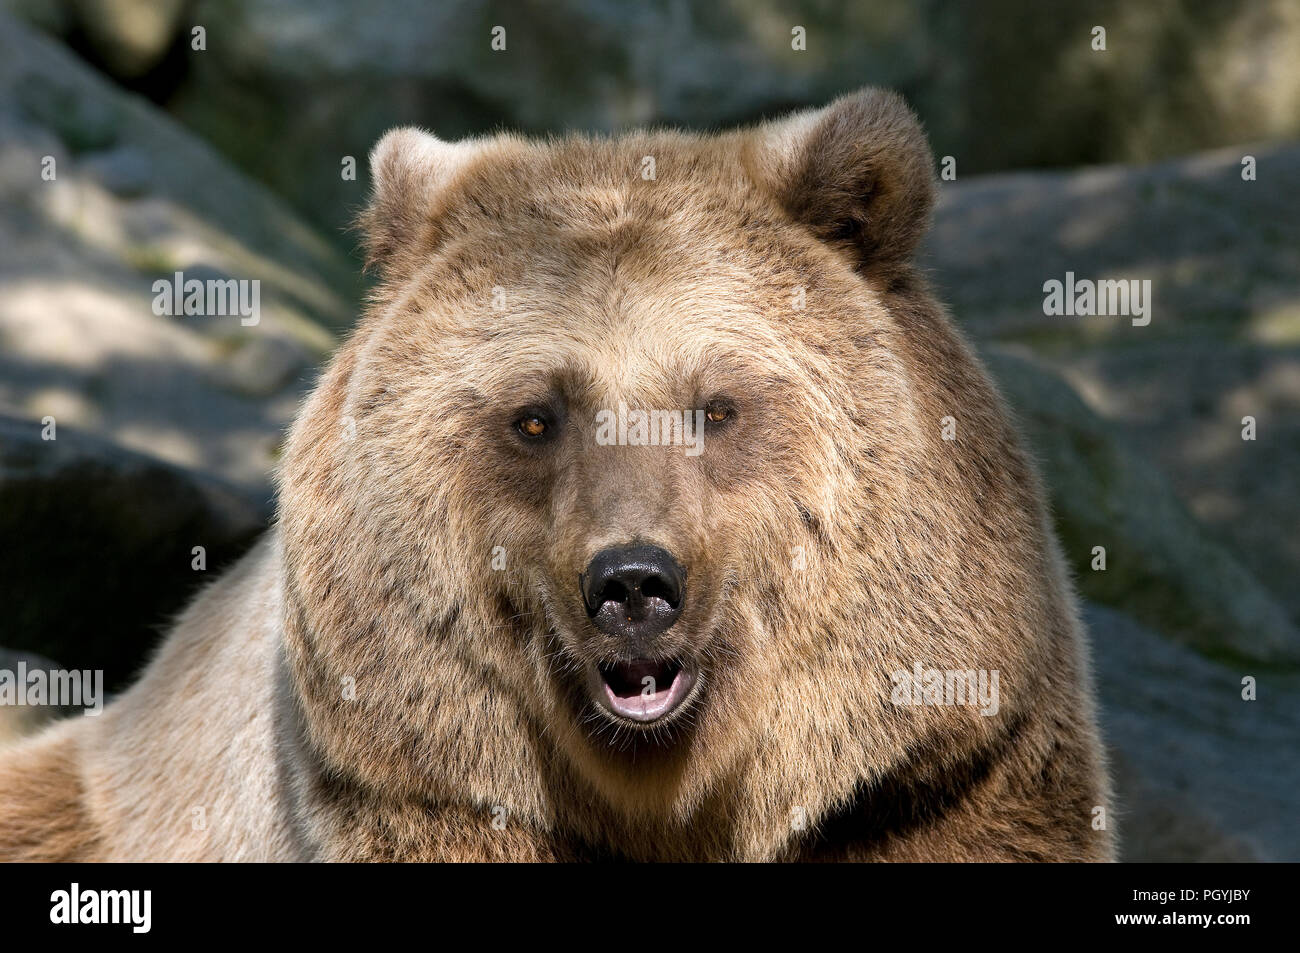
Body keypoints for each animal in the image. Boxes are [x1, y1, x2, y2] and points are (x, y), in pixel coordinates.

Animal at [0, 88, 1113, 862]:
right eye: (536, 414)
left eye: (716, 404)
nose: (633, 583)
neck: (668, 803)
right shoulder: (420, 787)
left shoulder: (929, 781)